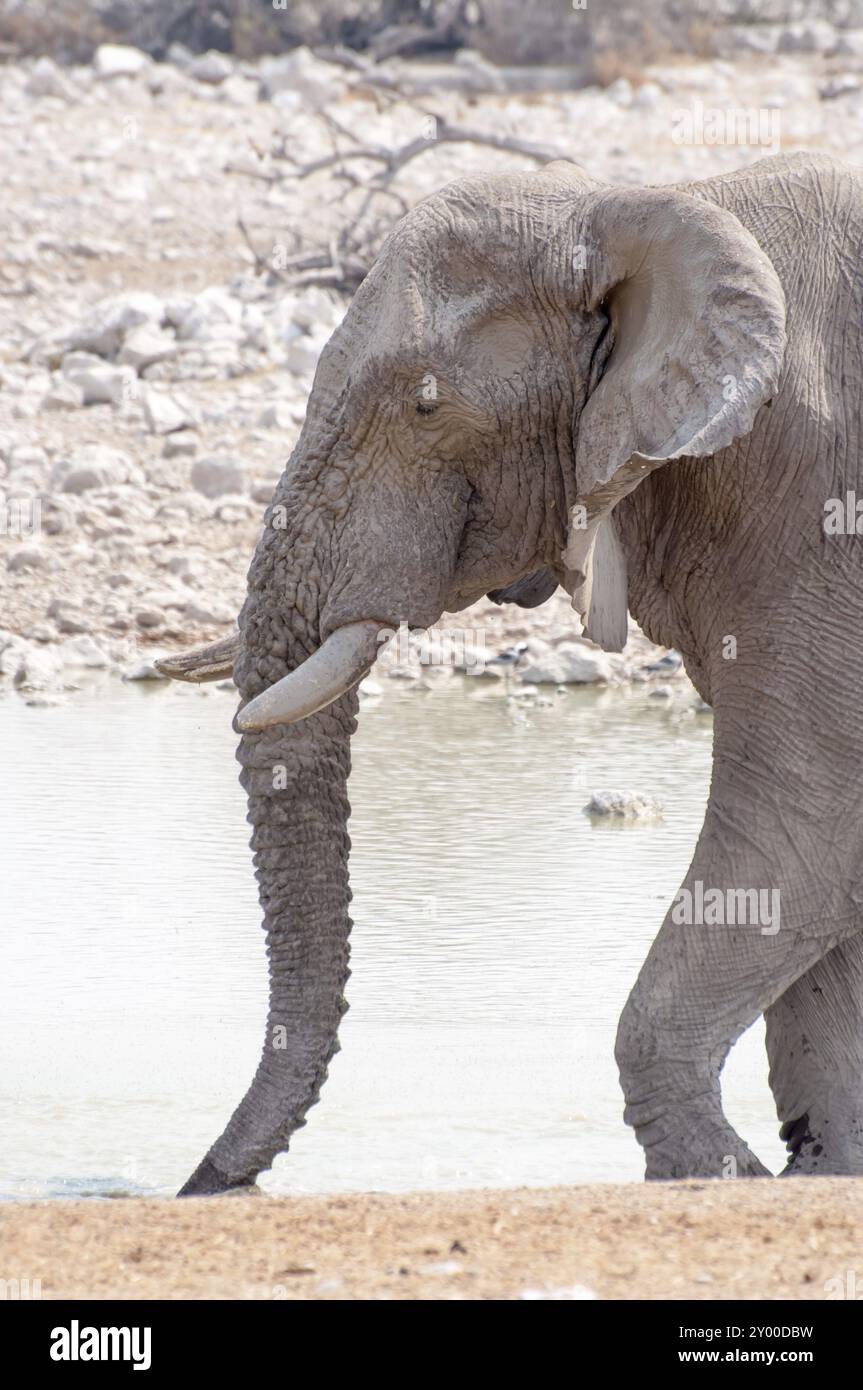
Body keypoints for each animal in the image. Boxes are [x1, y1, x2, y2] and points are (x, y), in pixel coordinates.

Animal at [159, 150, 863, 1194]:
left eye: (424, 405)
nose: (207, 1183)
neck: (637, 201)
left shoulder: (821, 509)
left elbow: (805, 823)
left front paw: (721, 1173)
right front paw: (818, 1177)